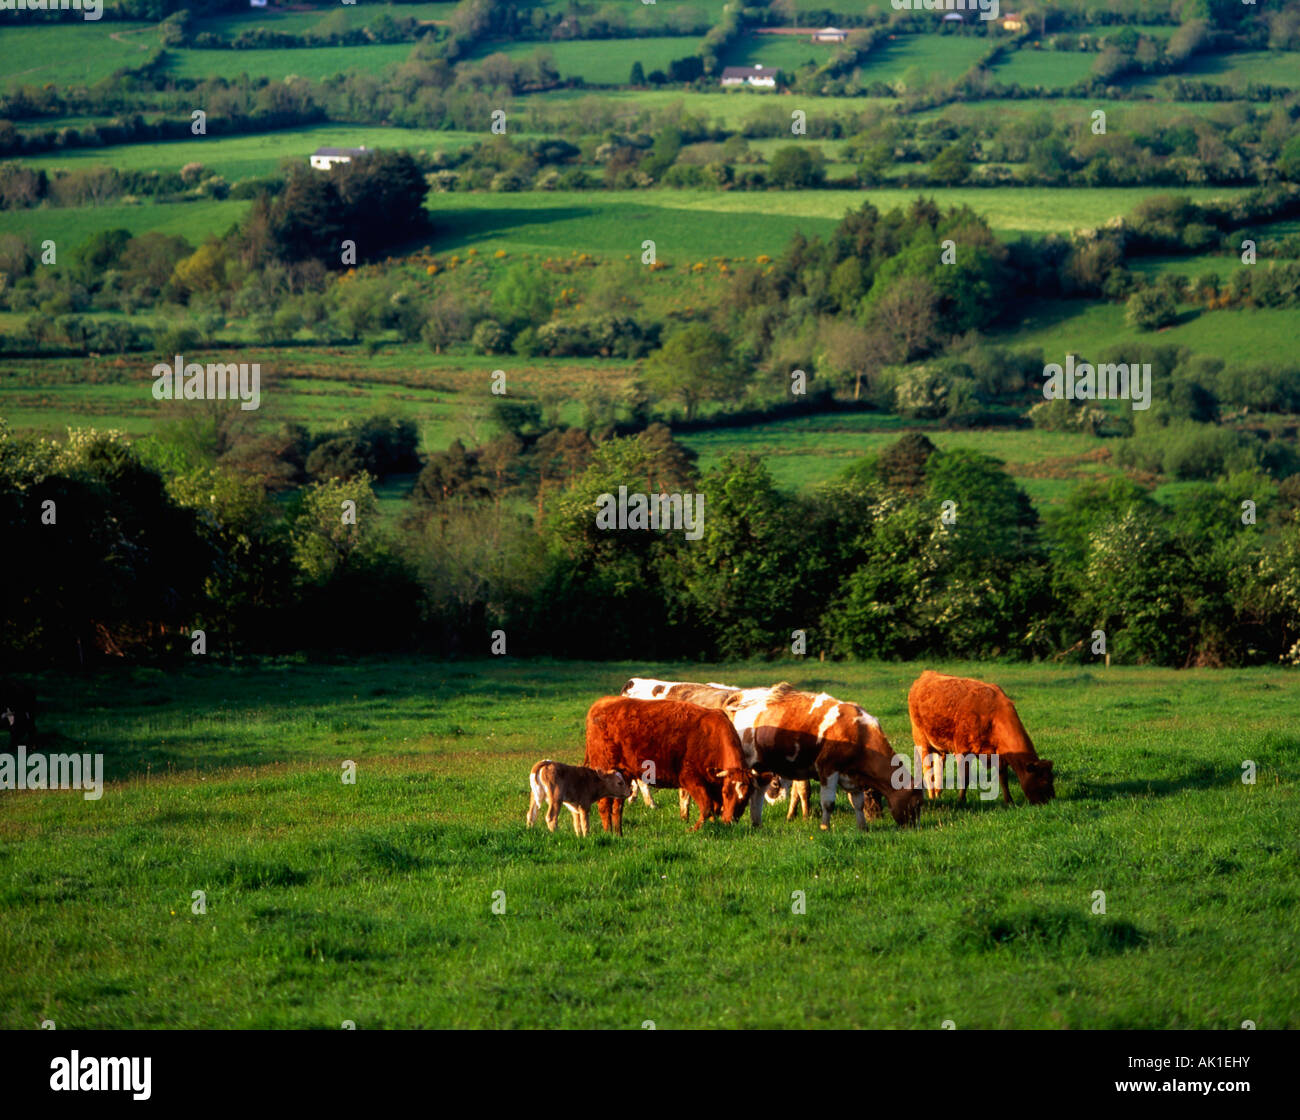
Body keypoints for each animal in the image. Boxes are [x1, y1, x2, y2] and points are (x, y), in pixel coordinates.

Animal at [583, 696, 752, 835]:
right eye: (726, 793)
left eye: (745, 798)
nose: (729, 820)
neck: (711, 737)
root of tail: (601, 703)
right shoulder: (691, 779)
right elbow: (707, 807)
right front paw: (693, 829)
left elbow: (714, 809)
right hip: (605, 768)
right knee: (604, 804)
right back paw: (608, 833)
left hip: (623, 774)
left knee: (617, 806)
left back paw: (617, 834)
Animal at [725, 683, 922, 829]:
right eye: (917, 804)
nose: (915, 827)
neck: (859, 733)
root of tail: (743, 697)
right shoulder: (828, 768)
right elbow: (828, 803)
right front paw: (825, 827)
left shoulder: (852, 776)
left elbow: (857, 802)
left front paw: (863, 827)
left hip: (762, 766)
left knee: (758, 791)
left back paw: (757, 823)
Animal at [907, 670, 1055, 806]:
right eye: (1044, 781)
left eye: (1052, 778)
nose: (1051, 802)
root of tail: (927, 674)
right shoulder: (962, 750)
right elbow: (965, 777)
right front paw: (961, 800)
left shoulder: (1000, 755)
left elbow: (1003, 778)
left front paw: (1009, 801)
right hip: (921, 739)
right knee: (927, 769)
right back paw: (932, 795)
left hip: (939, 744)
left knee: (938, 765)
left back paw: (937, 794)